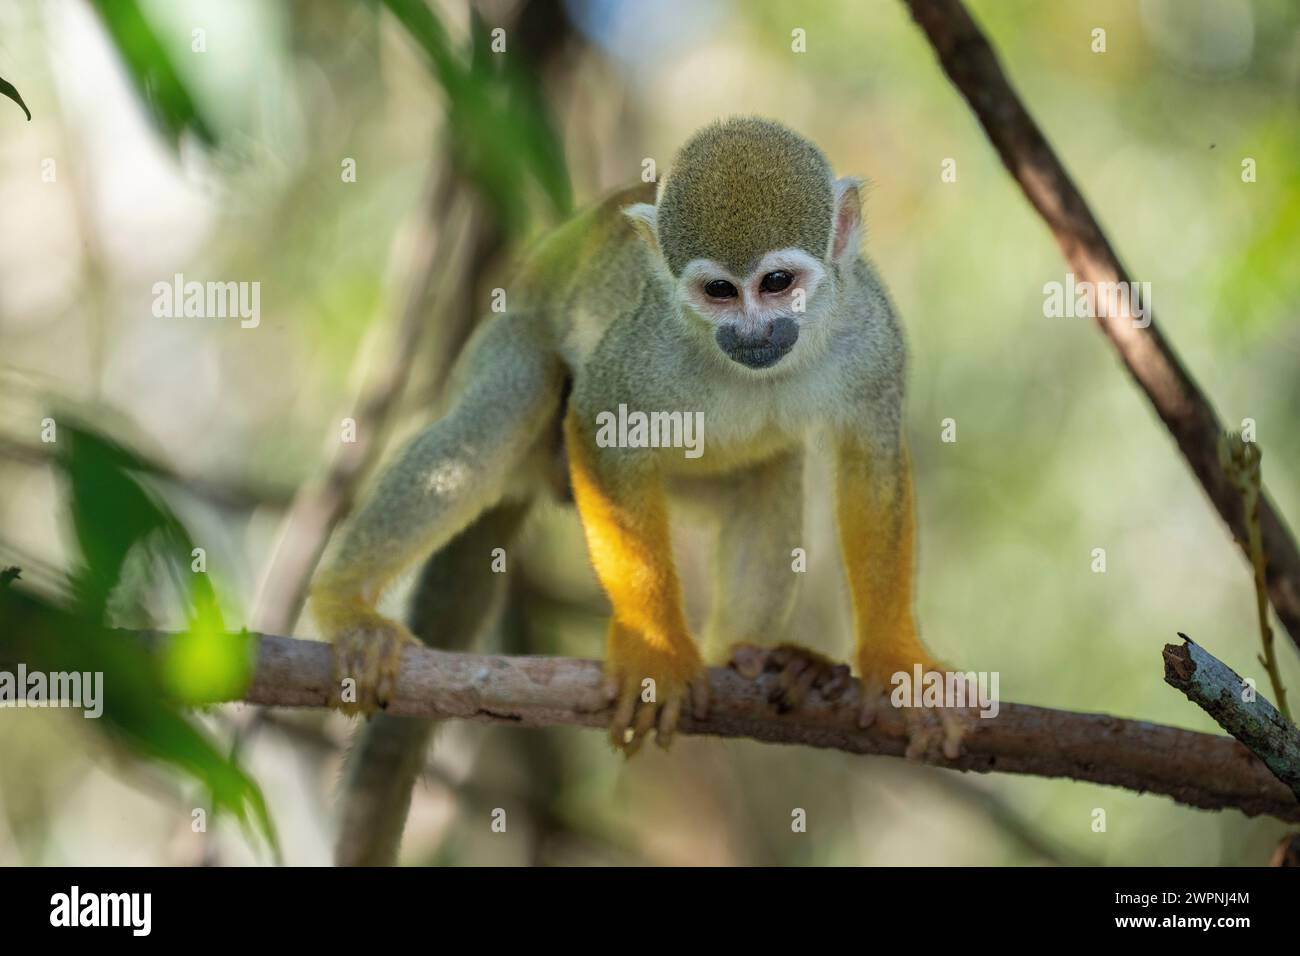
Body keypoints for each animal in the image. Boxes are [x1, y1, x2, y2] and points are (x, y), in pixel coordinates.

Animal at [310, 116, 963, 864]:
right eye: (719, 292)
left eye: (776, 283)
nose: (752, 331)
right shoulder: (647, 349)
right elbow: (600, 427)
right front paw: (653, 649)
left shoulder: (868, 331)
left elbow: (870, 459)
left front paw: (898, 663)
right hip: (506, 355)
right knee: (513, 399)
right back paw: (345, 604)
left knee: (769, 466)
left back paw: (750, 654)